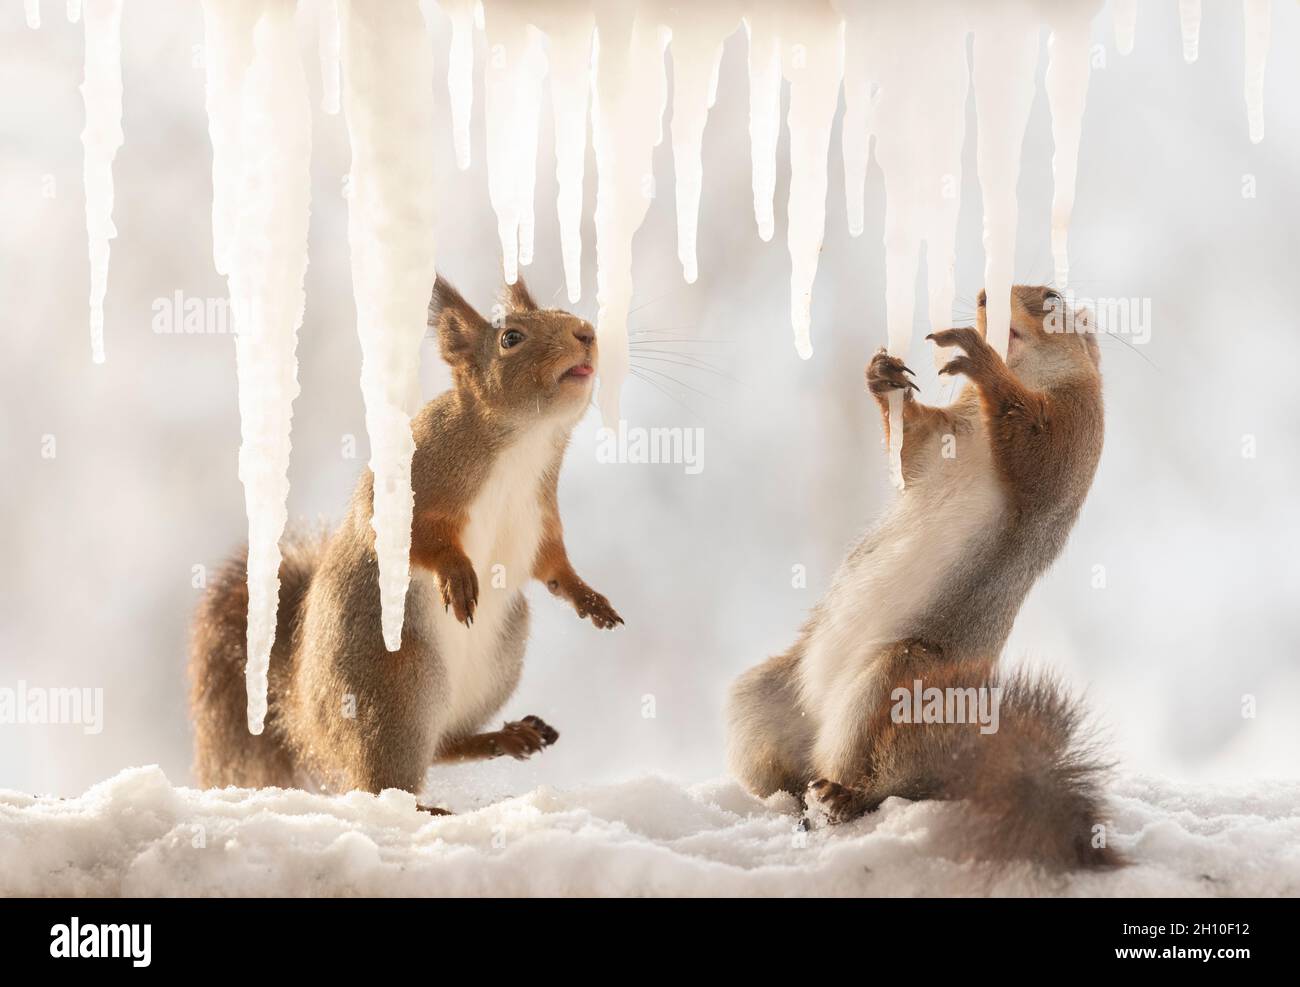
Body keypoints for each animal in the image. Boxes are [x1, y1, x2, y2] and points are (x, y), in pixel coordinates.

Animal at [189, 276, 622, 810]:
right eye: (511, 338)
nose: (587, 333)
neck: (524, 446)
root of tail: (306, 721)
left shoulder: (539, 520)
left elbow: (554, 567)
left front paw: (591, 600)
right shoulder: (409, 483)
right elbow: (412, 539)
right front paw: (456, 574)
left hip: (497, 663)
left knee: (441, 746)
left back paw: (504, 736)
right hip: (396, 690)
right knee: (379, 781)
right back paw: (424, 804)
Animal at [726, 285, 1117, 869]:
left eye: (1051, 297)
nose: (984, 294)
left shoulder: (1072, 437)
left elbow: (1033, 448)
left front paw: (980, 357)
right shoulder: (943, 436)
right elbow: (912, 444)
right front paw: (882, 374)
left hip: (899, 682)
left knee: (879, 781)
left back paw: (843, 795)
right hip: (762, 696)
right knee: (789, 774)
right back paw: (783, 793)